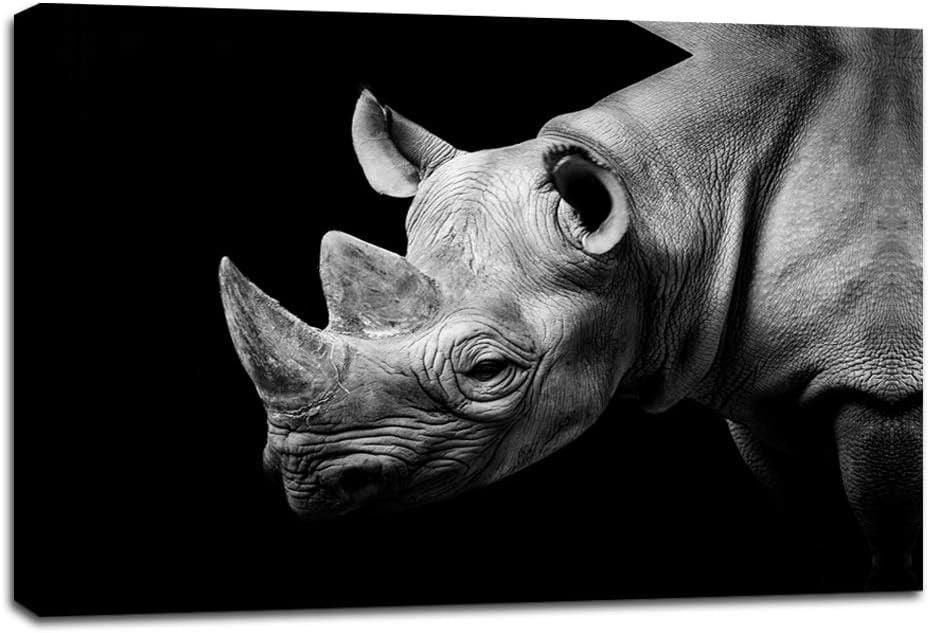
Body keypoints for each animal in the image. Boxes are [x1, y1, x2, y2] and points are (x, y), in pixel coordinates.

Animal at [219, 22, 922, 587]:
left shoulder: (885, 385)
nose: (304, 482)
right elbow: (803, 509)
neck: (661, 200)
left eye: (487, 370)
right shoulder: (758, 380)